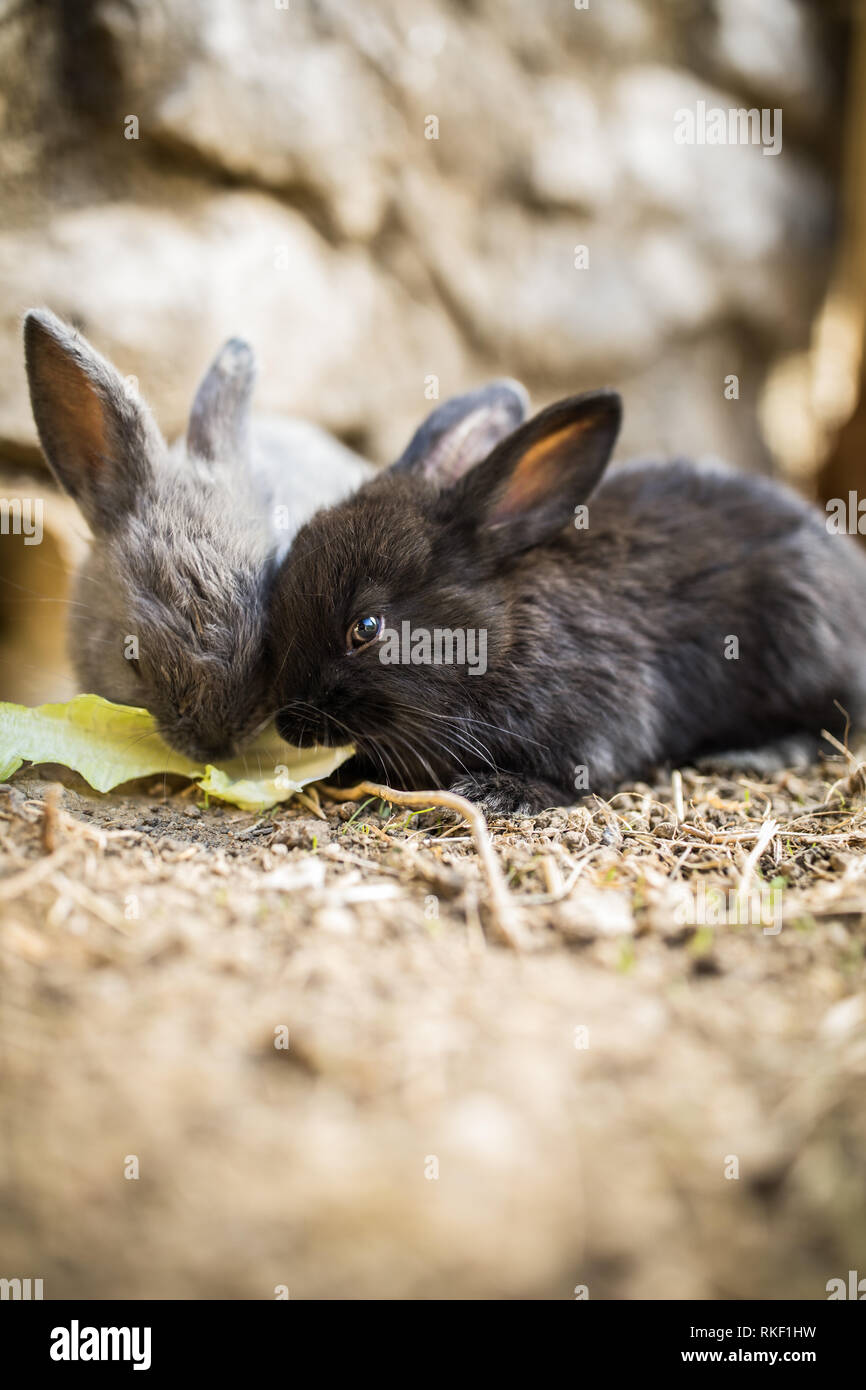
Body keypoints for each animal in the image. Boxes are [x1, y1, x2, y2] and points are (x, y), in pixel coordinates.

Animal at [267, 381, 866, 814]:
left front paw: (497, 792)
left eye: (365, 629)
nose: (287, 726)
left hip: (803, 638)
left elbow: (579, 773)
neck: (501, 636)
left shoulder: (603, 714)